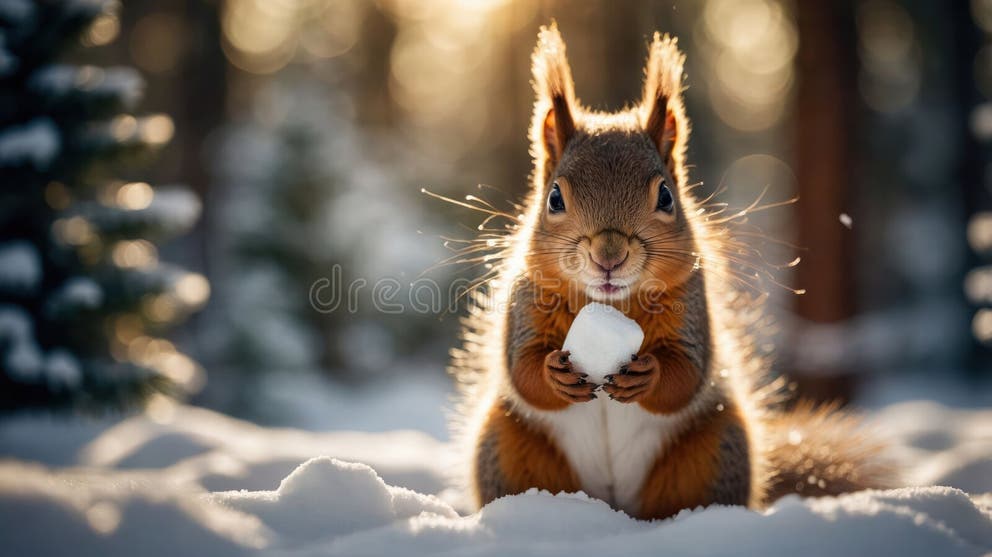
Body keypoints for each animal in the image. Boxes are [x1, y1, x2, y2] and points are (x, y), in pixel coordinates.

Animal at [449, 23, 892, 520]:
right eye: (554, 199)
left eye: (665, 196)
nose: (609, 255)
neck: (610, 304)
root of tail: (615, 503)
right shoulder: (524, 299)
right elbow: (520, 367)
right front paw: (551, 372)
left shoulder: (692, 305)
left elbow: (688, 372)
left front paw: (650, 375)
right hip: (503, 442)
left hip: (718, 444)